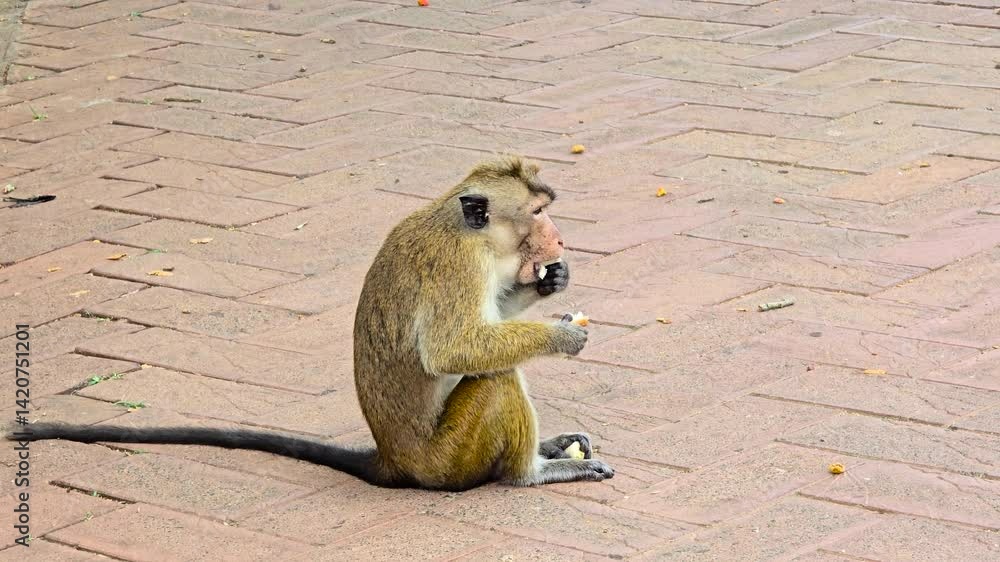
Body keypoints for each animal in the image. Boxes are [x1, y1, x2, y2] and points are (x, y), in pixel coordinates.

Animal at [12, 155, 614, 491]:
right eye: (538, 213)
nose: (559, 239)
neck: (473, 235)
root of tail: (394, 460)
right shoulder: (458, 267)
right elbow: (454, 348)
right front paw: (561, 335)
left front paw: (548, 284)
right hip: (447, 460)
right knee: (496, 378)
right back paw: (530, 472)